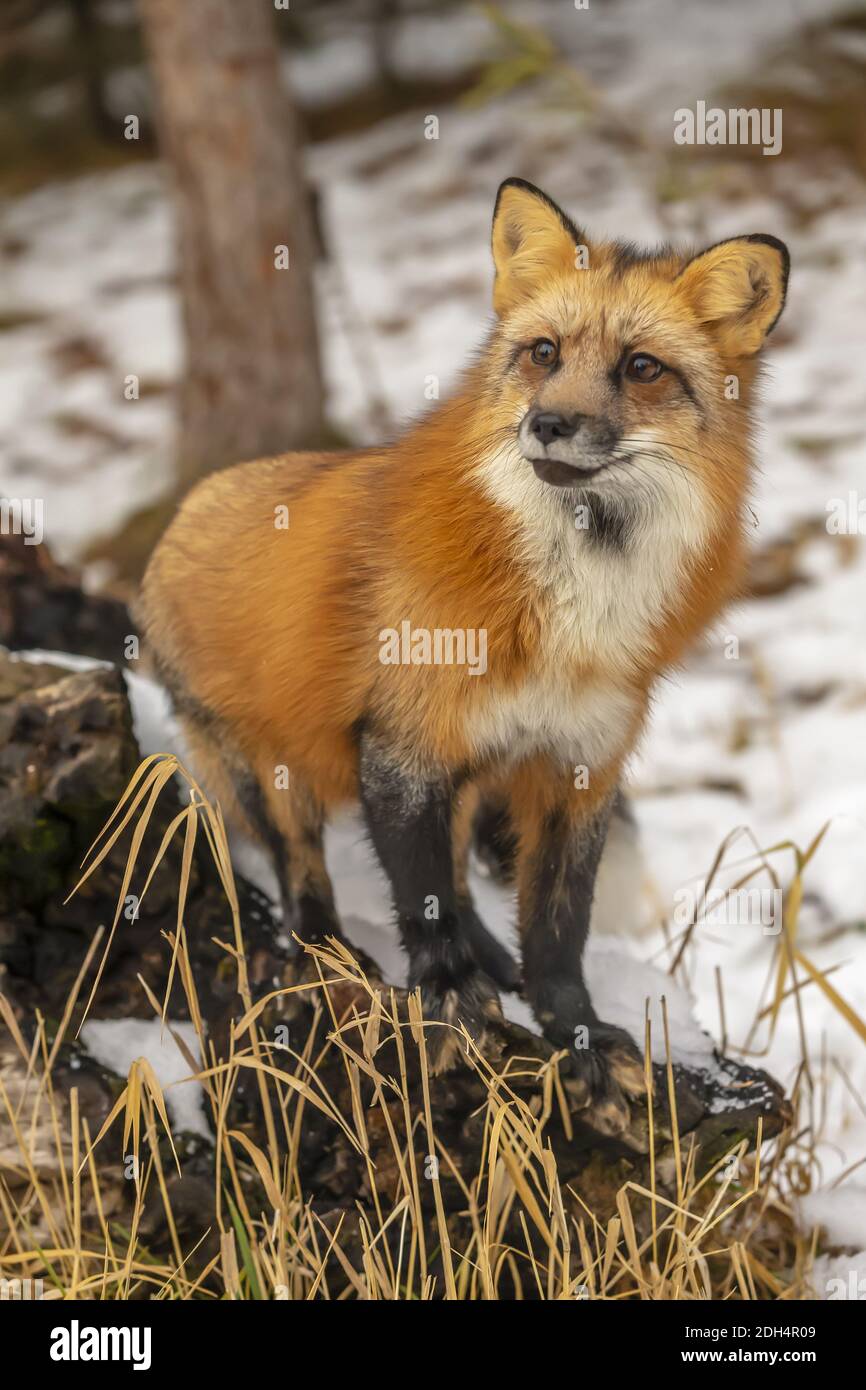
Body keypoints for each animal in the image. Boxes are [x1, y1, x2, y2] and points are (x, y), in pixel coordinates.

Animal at [140, 178, 788, 1130]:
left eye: (641, 368)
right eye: (543, 353)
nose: (549, 423)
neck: (568, 611)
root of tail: (182, 514)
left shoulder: (577, 765)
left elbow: (557, 932)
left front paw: (579, 1038)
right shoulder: (403, 748)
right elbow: (425, 900)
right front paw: (447, 1000)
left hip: (471, 775)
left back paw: (494, 966)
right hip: (270, 774)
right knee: (305, 889)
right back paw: (334, 959)